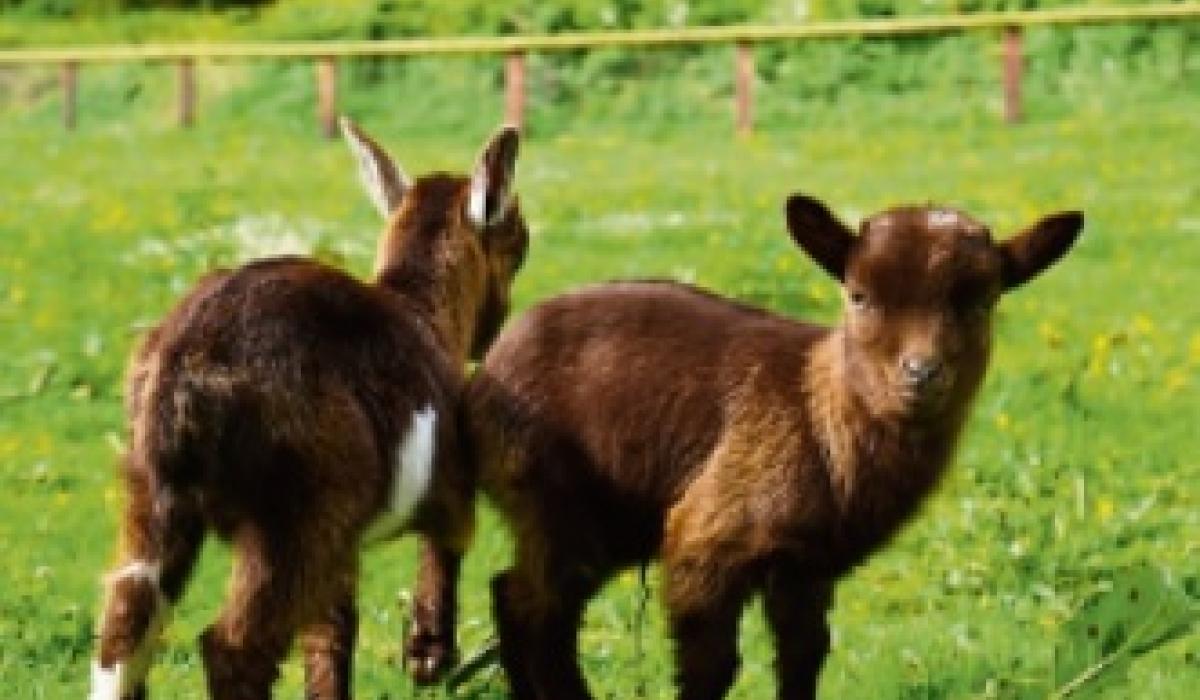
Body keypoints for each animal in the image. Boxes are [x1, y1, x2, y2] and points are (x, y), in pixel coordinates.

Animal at [88, 119, 527, 700]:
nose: (491, 333)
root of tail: (185, 365)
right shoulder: (445, 485)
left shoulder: (343, 546)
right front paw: (428, 657)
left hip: (153, 490)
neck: (423, 315)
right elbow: (447, 546)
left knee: (124, 627)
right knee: (232, 647)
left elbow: (329, 634)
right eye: (518, 243)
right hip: (299, 505)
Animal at [458, 194, 1082, 699]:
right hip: (548, 493)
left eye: (982, 303)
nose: (921, 374)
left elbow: (804, 658)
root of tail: (483, 371)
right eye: (859, 296)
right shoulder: (706, 537)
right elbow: (711, 669)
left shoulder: (806, 565)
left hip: (605, 519)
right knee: (535, 608)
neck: (820, 414)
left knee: (517, 599)